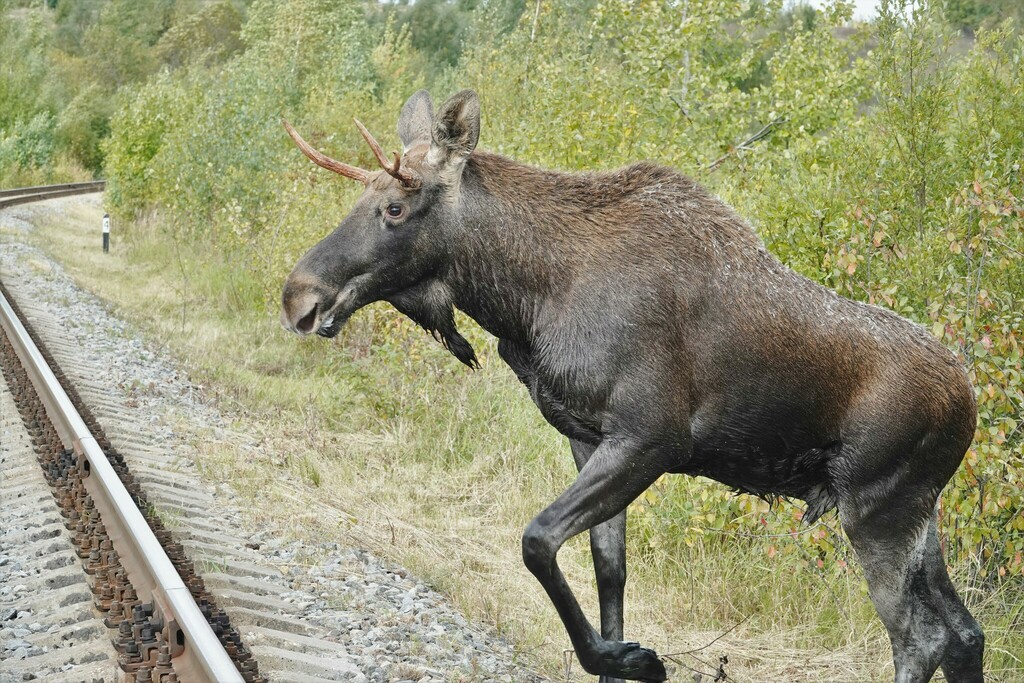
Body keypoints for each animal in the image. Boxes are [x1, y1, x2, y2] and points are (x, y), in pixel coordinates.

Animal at [279, 89, 983, 683]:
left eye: (395, 206)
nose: (298, 298)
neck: (526, 296)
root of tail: (970, 400)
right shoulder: (589, 439)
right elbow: (608, 573)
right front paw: (622, 655)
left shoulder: (651, 439)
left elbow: (538, 542)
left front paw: (636, 658)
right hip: (921, 515)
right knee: (965, 633)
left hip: (875, 510)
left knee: (919, 640)